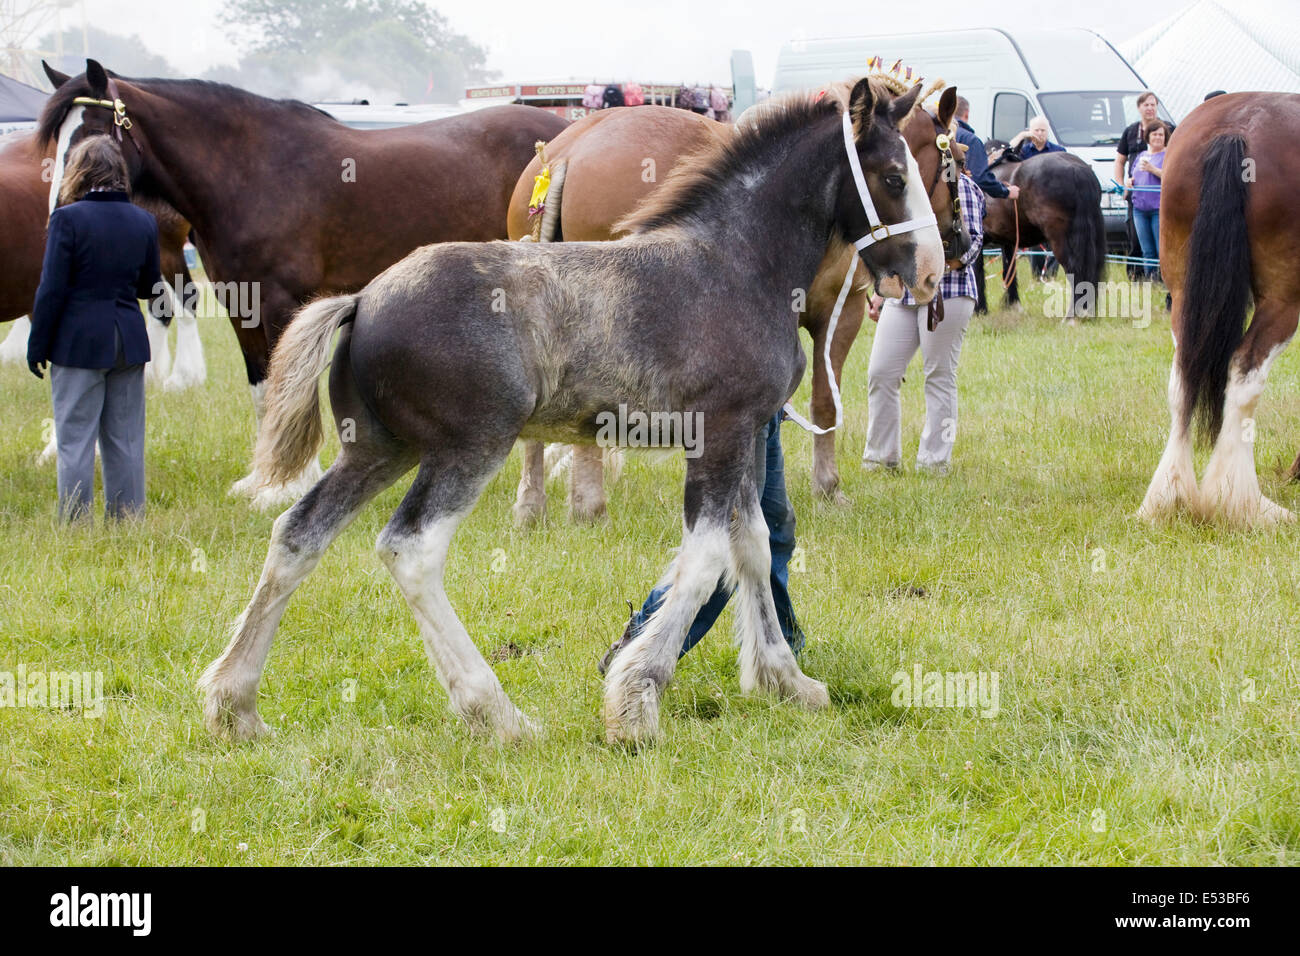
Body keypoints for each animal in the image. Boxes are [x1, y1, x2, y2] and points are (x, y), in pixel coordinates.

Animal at [36, 59, 569, 507]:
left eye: (90, 131)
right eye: (59, 139)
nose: (60, 214)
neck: (254, 172)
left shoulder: (281, 302)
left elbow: (288, 383)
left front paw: (287, 484)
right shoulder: (240, 300)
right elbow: (263, 387)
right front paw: (262, 480)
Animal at [506, 83, 969, 524]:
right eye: (896, 178)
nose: (945, 257)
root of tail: (564, 154)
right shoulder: (839, 315)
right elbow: (824, 403)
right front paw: (828, 488)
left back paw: (533, 504)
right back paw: (588, 505)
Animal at [973, 144, 1105, 318]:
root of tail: (1077, 170)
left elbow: (977, 274)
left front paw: (979, 309)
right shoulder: (1008, 241)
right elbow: (1009, 271)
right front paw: (1012, 305)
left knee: (1075, 270)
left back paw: (1072, 316)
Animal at [1138, 92, 1300, 526]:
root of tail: (1238, 126)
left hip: (1182, 291)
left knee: (1183, 377)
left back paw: (1170, 496)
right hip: (1283, 299)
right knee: (1245, 371)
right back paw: (1242, 502)